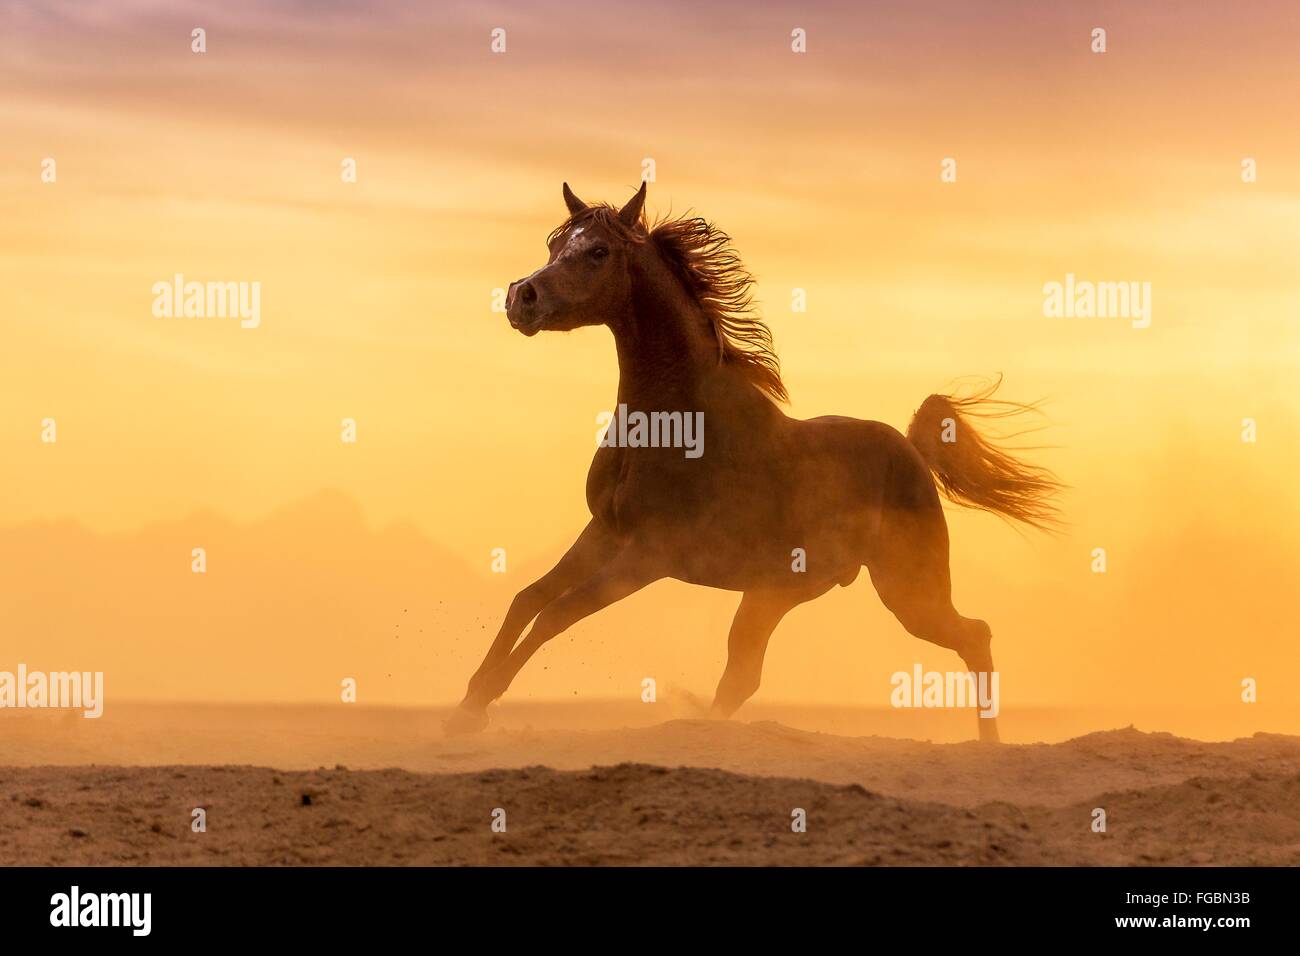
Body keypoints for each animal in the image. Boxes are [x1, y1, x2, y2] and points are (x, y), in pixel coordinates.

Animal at [446, 181, 1062, 742]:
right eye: (554, 244)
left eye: (597, 251)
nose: (520, 298)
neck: (679, 421)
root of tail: (911, 450)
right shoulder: (604, 533)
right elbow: (528, 599)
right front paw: (468, 704)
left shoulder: (648, 555)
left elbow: (557, 613)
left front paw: (477, 708)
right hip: (775, 594)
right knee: (742, 675)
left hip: (908, 592)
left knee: (975, 635)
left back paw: (990, 745)